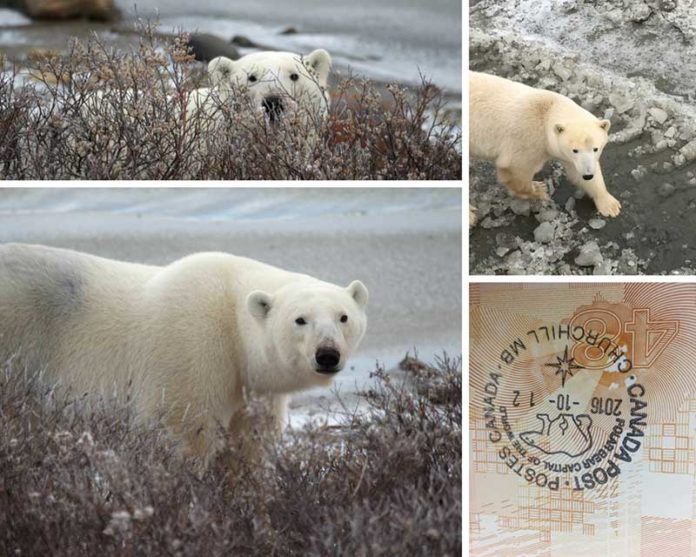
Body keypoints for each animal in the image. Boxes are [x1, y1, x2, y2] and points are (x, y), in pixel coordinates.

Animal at [0, 243, 368, 466]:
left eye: (343, 317)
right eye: (300, 319)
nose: (327, 354)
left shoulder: (251, 386)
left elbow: (248, 444)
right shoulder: (194, 349)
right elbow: (187, 433)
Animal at [469, 71, 621, 227]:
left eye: (596, 148)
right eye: (575, 150)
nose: (588, 174)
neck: (546, 111)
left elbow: (576, 171)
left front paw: (610, 205)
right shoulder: (527, 139)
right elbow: (516, 169)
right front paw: (539, 189)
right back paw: (470, 215)